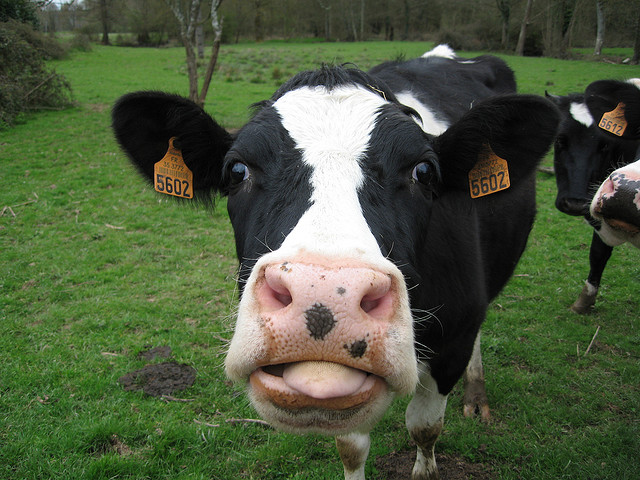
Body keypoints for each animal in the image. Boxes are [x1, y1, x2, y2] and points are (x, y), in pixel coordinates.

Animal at [111, 46, 559, 480]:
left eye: (424, 170)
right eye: (237, 170)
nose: (324, 295)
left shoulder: (454, 338)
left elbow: (425, 427)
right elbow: (351, 447)